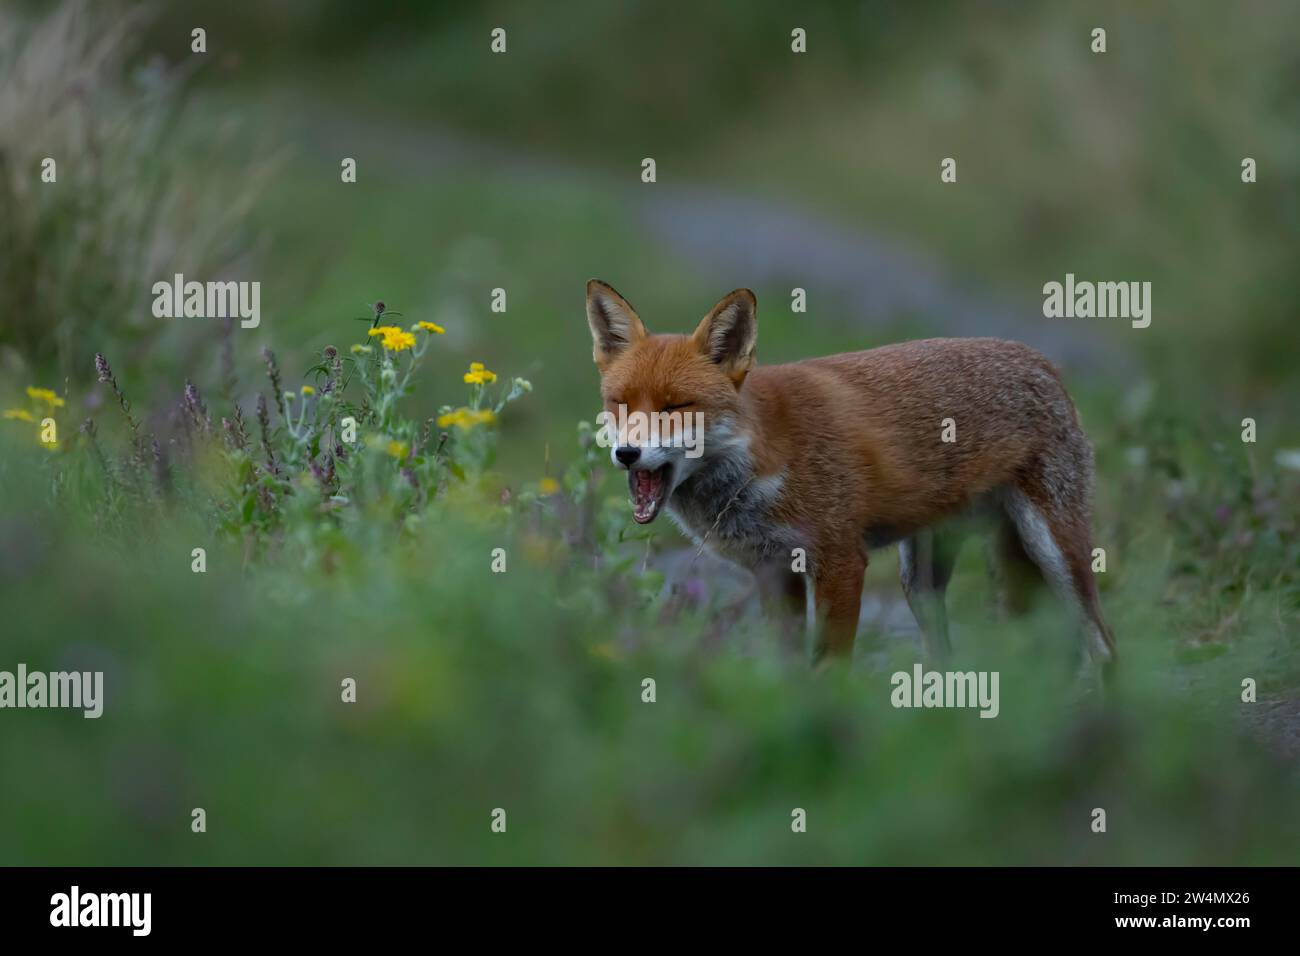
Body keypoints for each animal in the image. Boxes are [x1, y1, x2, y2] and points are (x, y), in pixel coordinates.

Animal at [585, 279, 1116, 672]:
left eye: (675, 407)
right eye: (620, 403)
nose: (627, 454)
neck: (756, 464)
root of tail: (1044, 362)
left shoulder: (839, 561)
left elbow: (827, 668)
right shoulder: (773, 572)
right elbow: (788, 668)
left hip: (1055, 550)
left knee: (1104, 645)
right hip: (921, 580)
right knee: (946, 653)